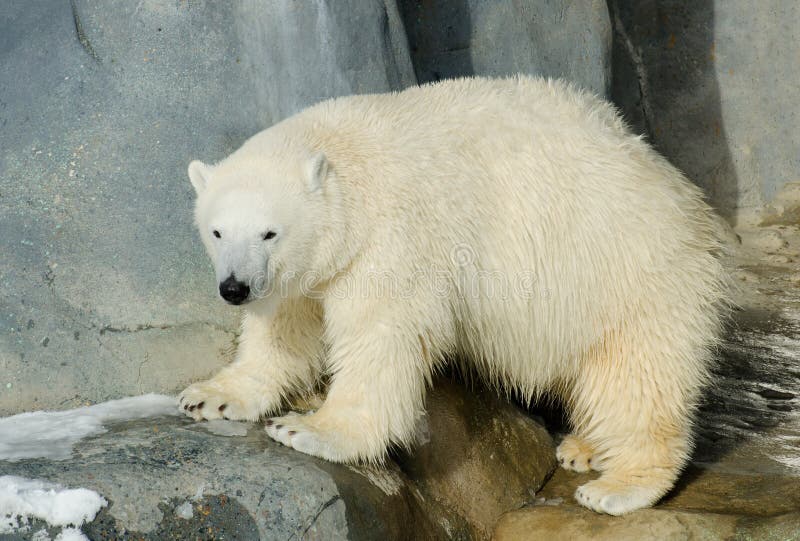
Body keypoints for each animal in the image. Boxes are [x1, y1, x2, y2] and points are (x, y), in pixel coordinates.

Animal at [178, 76, 729, 515]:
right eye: (218, 231)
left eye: (270, 232)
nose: (234, 288)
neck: (348, 163)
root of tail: (683, 192)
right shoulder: (306, 273)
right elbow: (285, 329)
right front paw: (211, 395)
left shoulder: (393, 239)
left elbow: (379, 338)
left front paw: (308, 429)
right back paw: (584, 446)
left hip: (625, 269)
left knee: (636, 373)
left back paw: (617, 484)